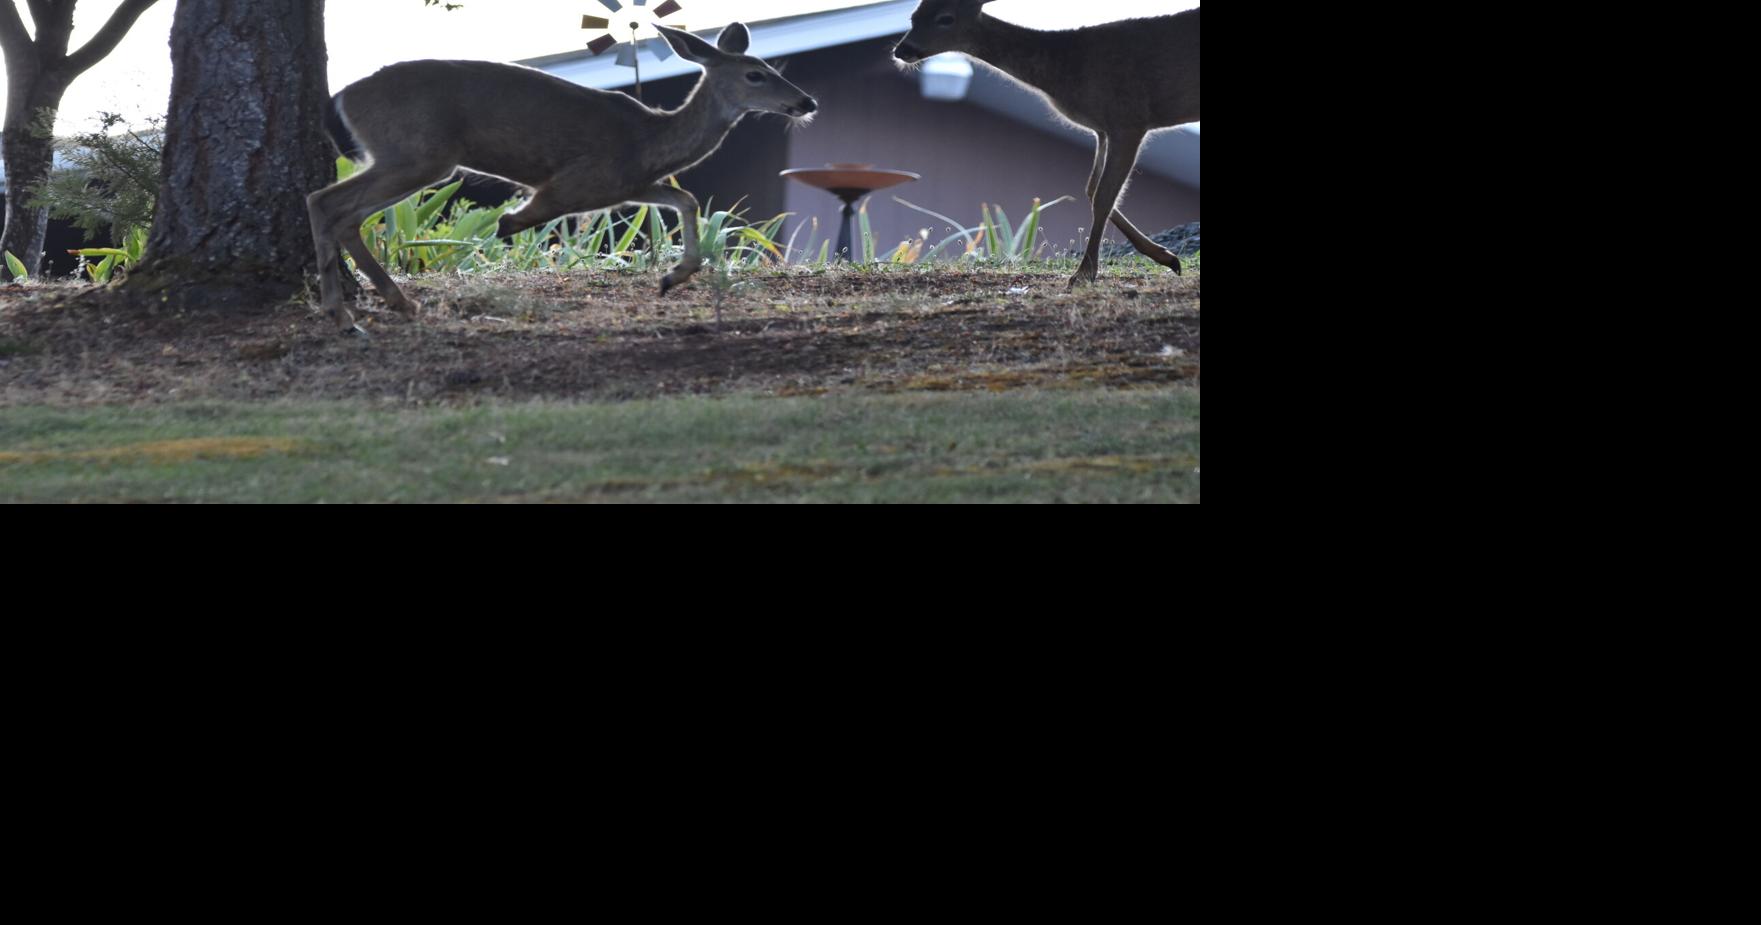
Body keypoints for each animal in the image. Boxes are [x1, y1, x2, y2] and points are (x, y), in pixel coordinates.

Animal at [308, 23, 817, 333]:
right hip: (418, 155)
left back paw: (394, 303)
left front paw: (672, 278)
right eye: (755, 74)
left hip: (407, 157)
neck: (649, 141)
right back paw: (343, 314)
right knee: (326, 202)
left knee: (341, 211)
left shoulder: (623, 186)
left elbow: (688, 199)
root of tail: (342, 98)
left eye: (771, 69)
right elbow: (527, 215)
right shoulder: (576, 183)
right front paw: (509, 220)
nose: (807, 102)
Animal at [893, 1, 1199, 287]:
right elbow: (1091, 190)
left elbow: (1103, 196)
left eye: (945, 18)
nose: (901, 50)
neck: (1063, 68)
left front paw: (1084, 273)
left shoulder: (1129, 119)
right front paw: (1166, 257)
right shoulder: (1102, 130)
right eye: (913, 16)